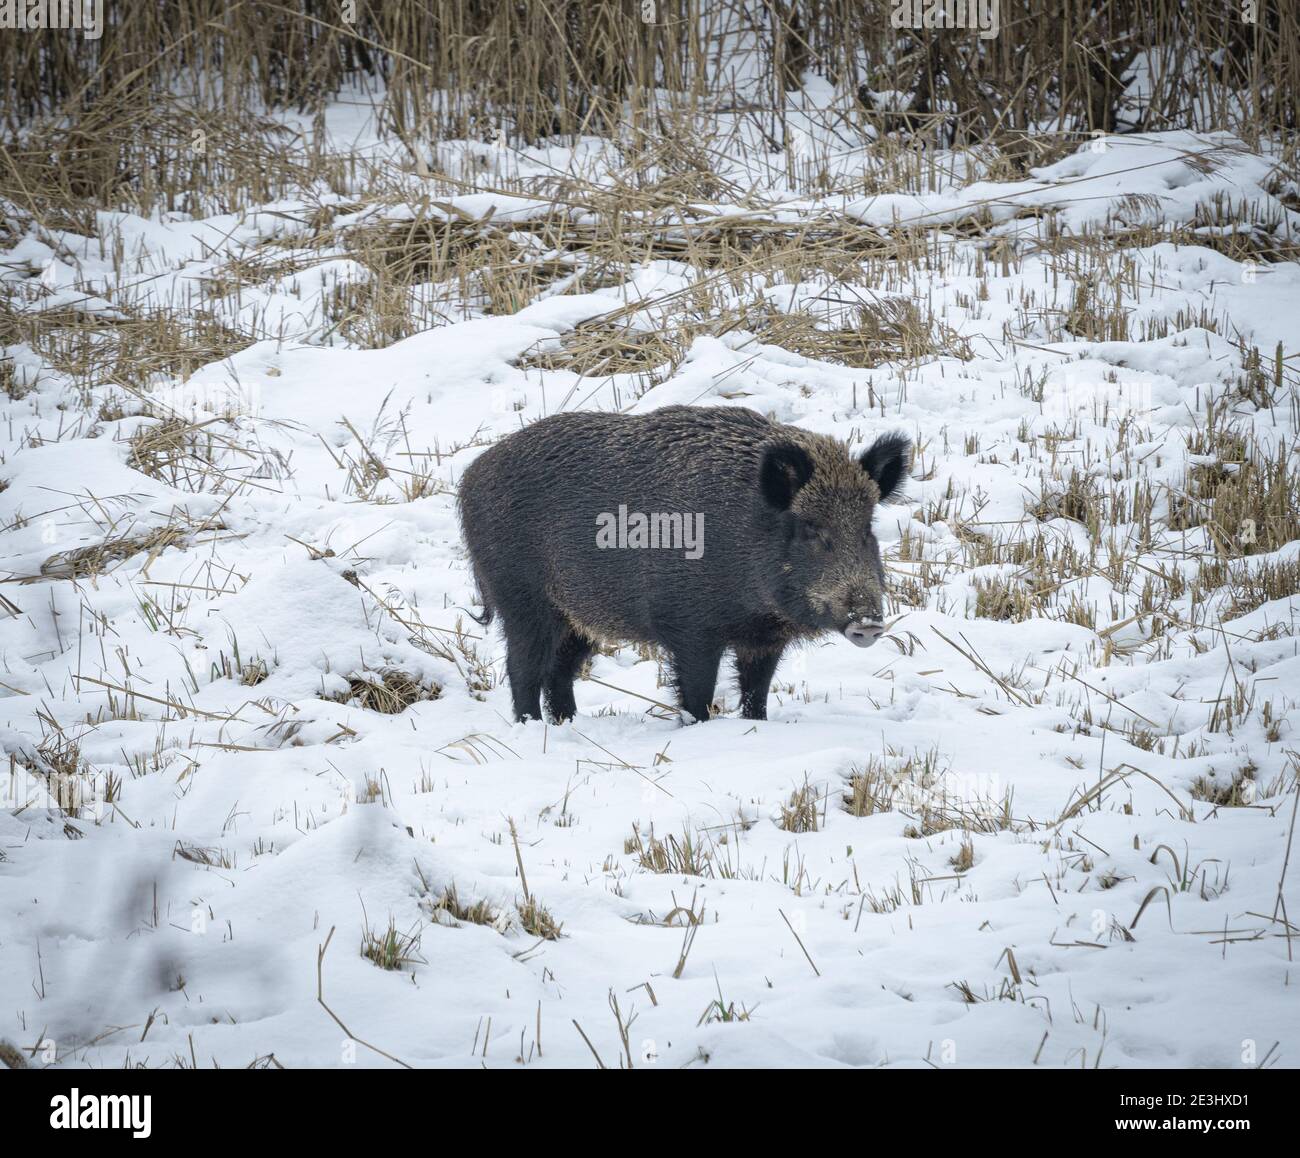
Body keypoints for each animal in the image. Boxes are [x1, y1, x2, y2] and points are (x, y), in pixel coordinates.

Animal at [457, 404, 910, 724]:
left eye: (867, 527)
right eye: (811, 528)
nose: (869, 622)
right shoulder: (689, 628)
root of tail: (470, 477)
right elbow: (697, 696)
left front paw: (756, 725)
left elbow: (756, 694)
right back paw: (533, 727)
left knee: (559, 672)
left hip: (579, 617)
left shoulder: (764, 640)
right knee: (523, 669)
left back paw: (568, 724)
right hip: (523, 599)